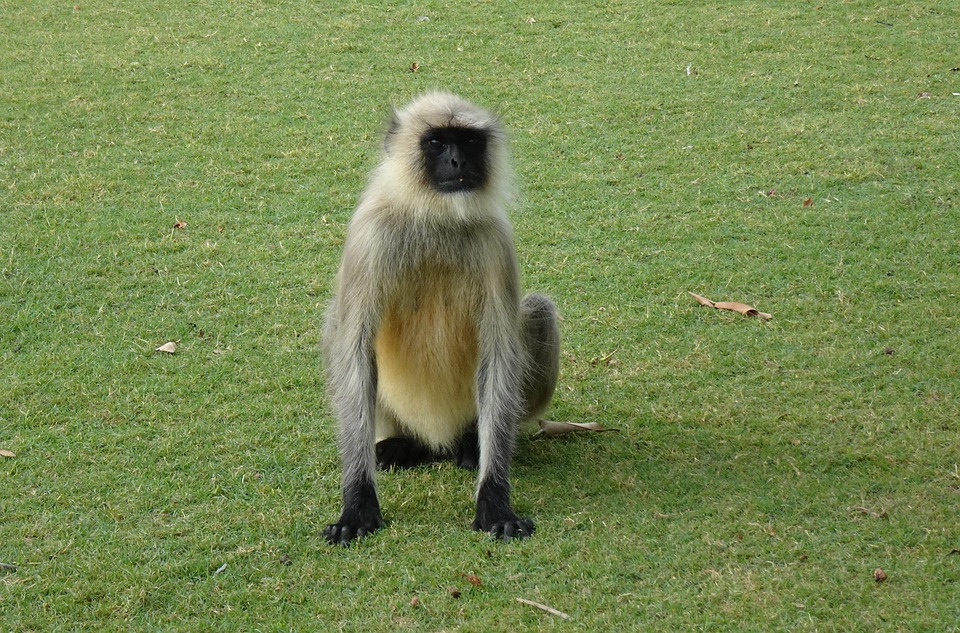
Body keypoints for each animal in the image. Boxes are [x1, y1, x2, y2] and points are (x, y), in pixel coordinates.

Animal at [321, 91, 560, 545]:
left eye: (468, 142)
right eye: (436, 142)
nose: (457, 162)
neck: (437, 217)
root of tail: (438, 438)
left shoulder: (496, 243)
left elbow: (499, 354)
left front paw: (494, 501)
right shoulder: (370, 235)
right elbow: (355, 349)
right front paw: (358, 503)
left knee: (539, 312)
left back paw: (468, 444)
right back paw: (405, 444)